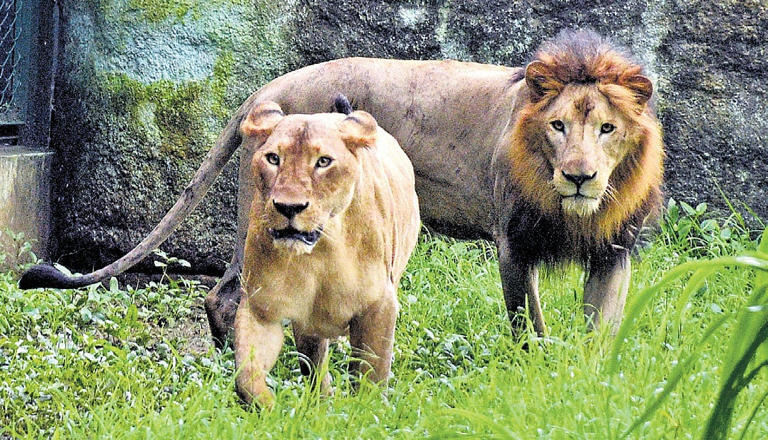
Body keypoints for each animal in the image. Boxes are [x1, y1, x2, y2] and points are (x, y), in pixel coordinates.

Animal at [20, 29, 663, 343]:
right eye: (558, 127)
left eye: (607, 128)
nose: (579, 175)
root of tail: (265, 92)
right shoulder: (514, 244)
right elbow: (527, 323)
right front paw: (536, 368)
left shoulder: (613, 251)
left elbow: (602, 328)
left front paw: (587, 379)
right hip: (275, 219)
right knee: (224, 296)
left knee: (224, 294)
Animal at [233, 101, 419, 405]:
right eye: (273, 159)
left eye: (323, 162)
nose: (289, 207)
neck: (320, 254)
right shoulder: (261, 309)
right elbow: (246, 377)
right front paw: (273, 409)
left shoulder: (379, 305)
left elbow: (371, 378)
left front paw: (365, 410)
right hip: (309, 326)